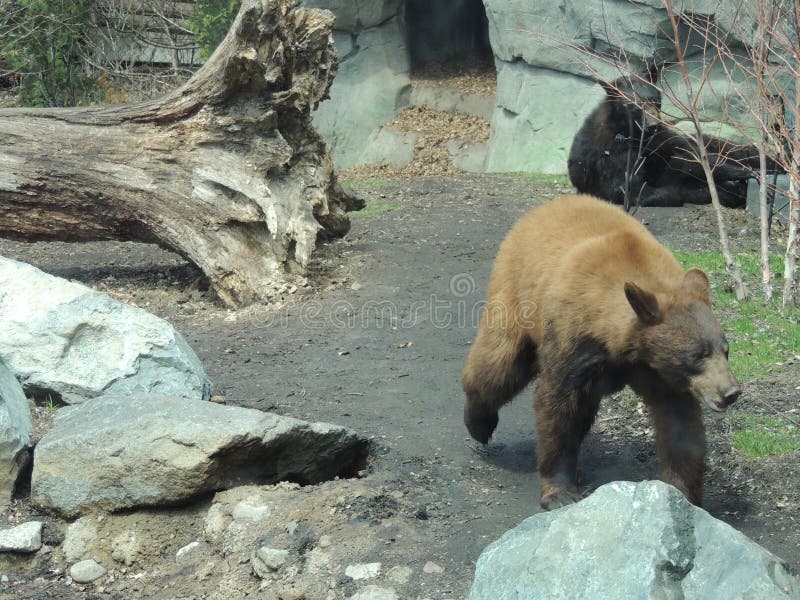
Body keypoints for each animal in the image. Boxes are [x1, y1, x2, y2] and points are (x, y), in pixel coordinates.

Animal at [461, 194, 741, 510]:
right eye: (698, 354)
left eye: (725, 350)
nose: (731, 391)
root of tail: (539, 210)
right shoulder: (572, 341)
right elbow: (556, 404)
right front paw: (560, 492)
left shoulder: (659, 372)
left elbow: (679, 422)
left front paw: (681, 491)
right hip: (516, 298)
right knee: (498, 363)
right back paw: (479, 424)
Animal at [567, 66, 768, 208]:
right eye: (636, 106)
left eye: (654, 100)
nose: (653, 125)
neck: (635, 136)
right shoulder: (613, 157)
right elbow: (632, 189)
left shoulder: (664, 141)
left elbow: (697, 159)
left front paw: (744, 174)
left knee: (734, 150)